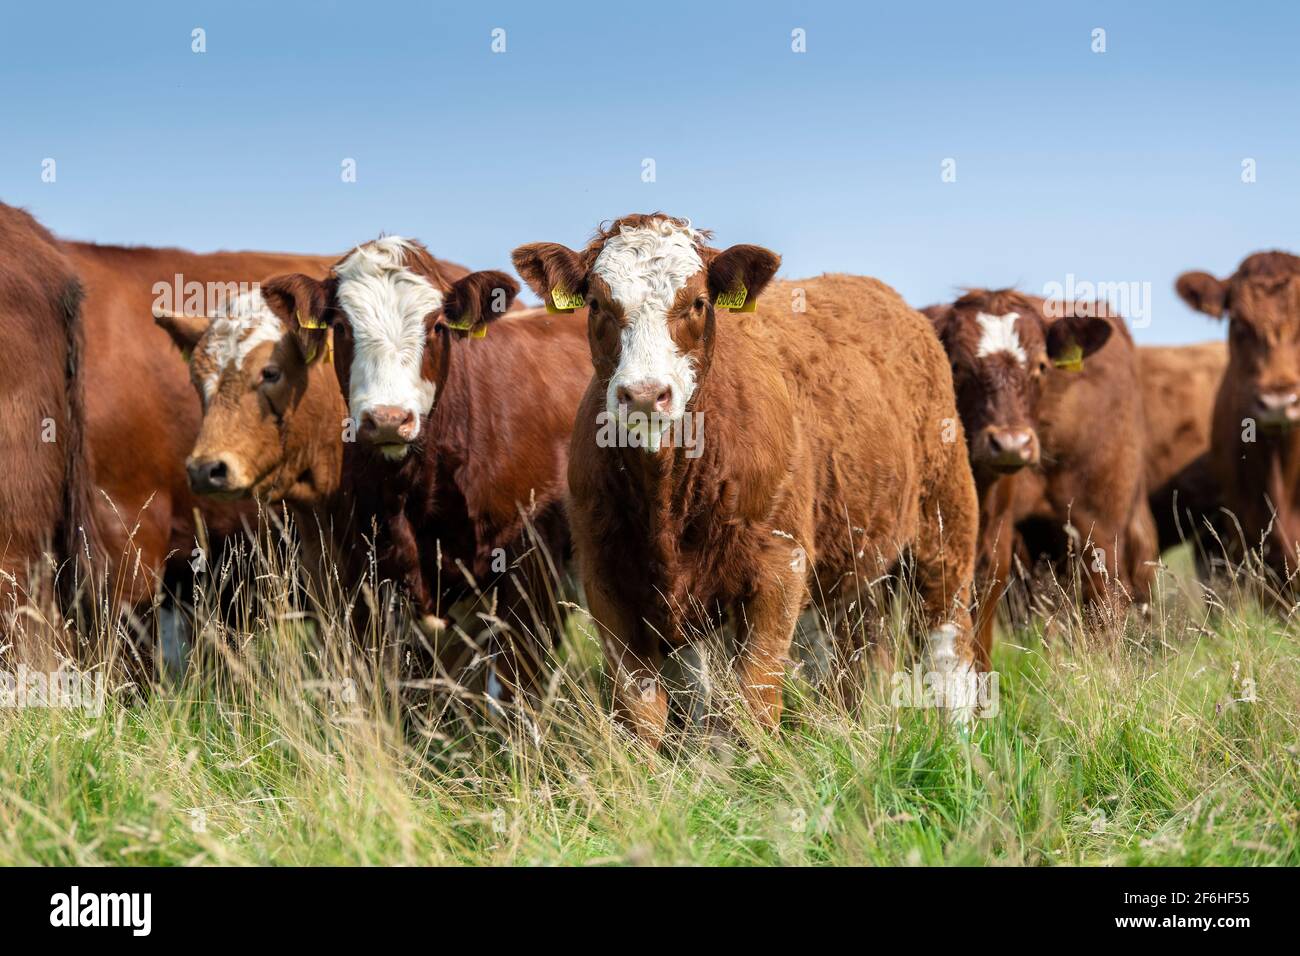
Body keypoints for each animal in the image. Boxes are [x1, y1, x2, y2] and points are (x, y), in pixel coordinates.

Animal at [258, 238, 593, 700]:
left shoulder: (532, 563)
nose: (387, 419)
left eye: (436, 325)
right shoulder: (364, 572)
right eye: (341, 326)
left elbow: (519, 683)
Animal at [512, 214, 980, 746]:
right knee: (846, 660)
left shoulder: (779, 565)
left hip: (945, 527)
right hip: (846, 569)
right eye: (596, 303)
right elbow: (643, 712)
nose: (645, 395)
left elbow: (754, 699)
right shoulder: (606, 578)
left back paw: (959, 745)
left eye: (697, 302)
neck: (666, 496)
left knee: (947, 647)